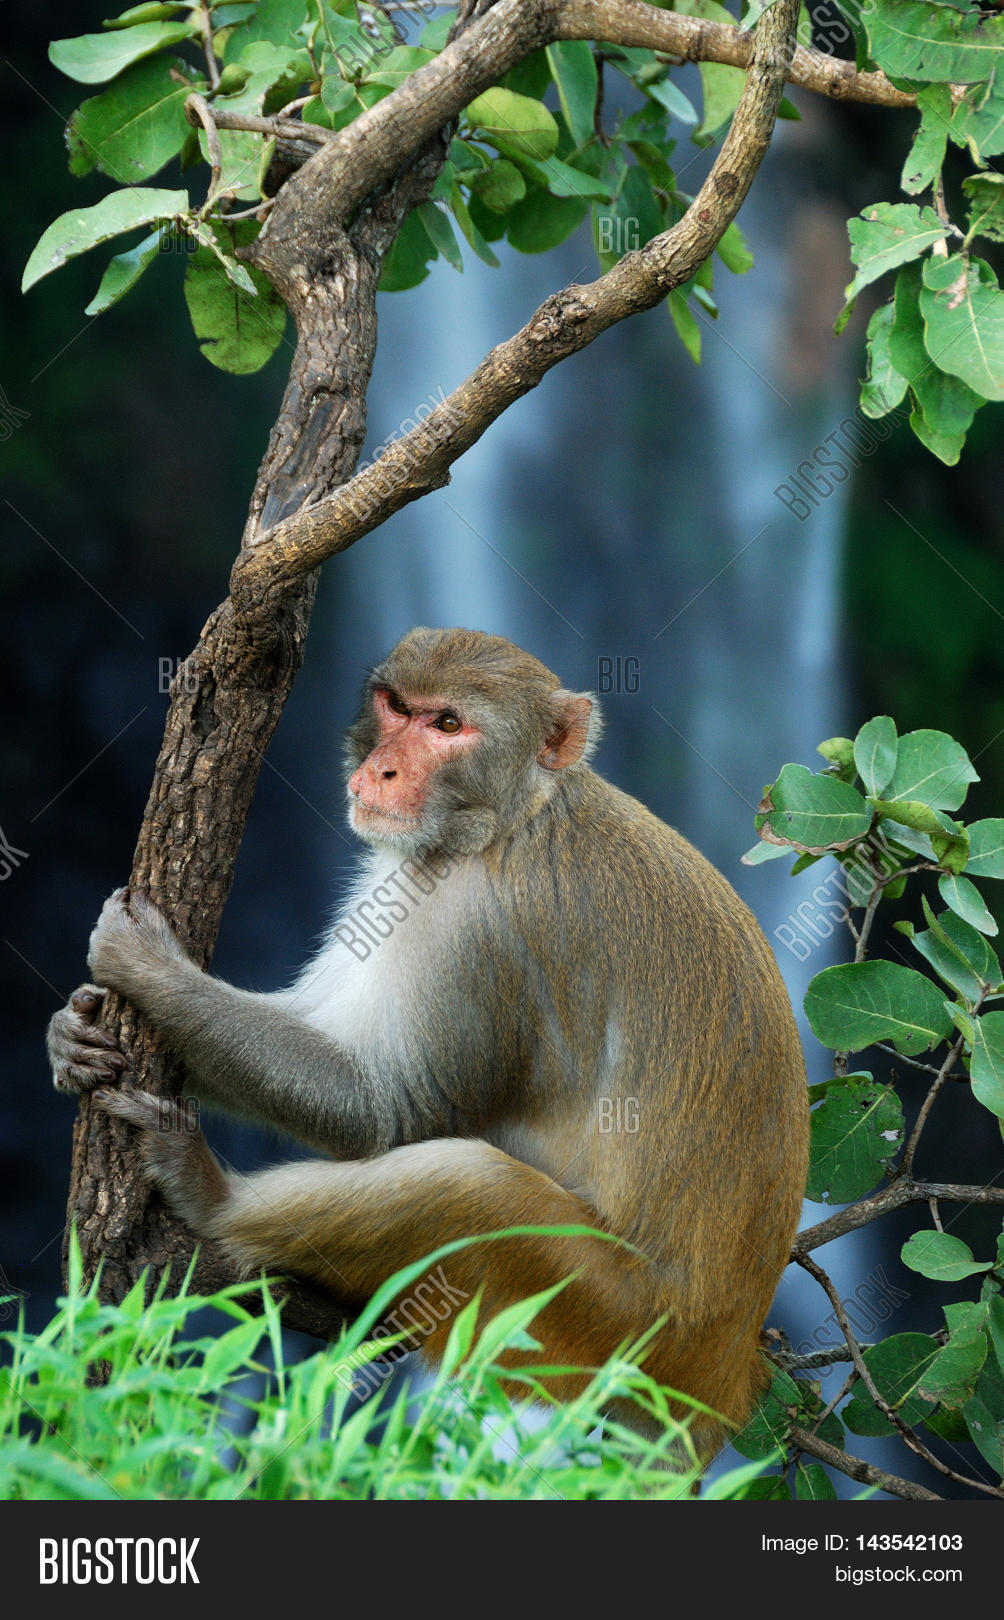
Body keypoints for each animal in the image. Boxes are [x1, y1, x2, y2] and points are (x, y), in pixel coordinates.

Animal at [48, 627, 808, 1459]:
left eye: (448, 726)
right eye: (396, 706)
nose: (384, 767)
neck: (514, 813)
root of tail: (718, 1374)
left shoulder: (479, 921)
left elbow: (385, 1109)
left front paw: (147, 969)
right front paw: (71, 1036)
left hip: (602, 1315)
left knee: (469, 1184)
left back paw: (214, 1202)